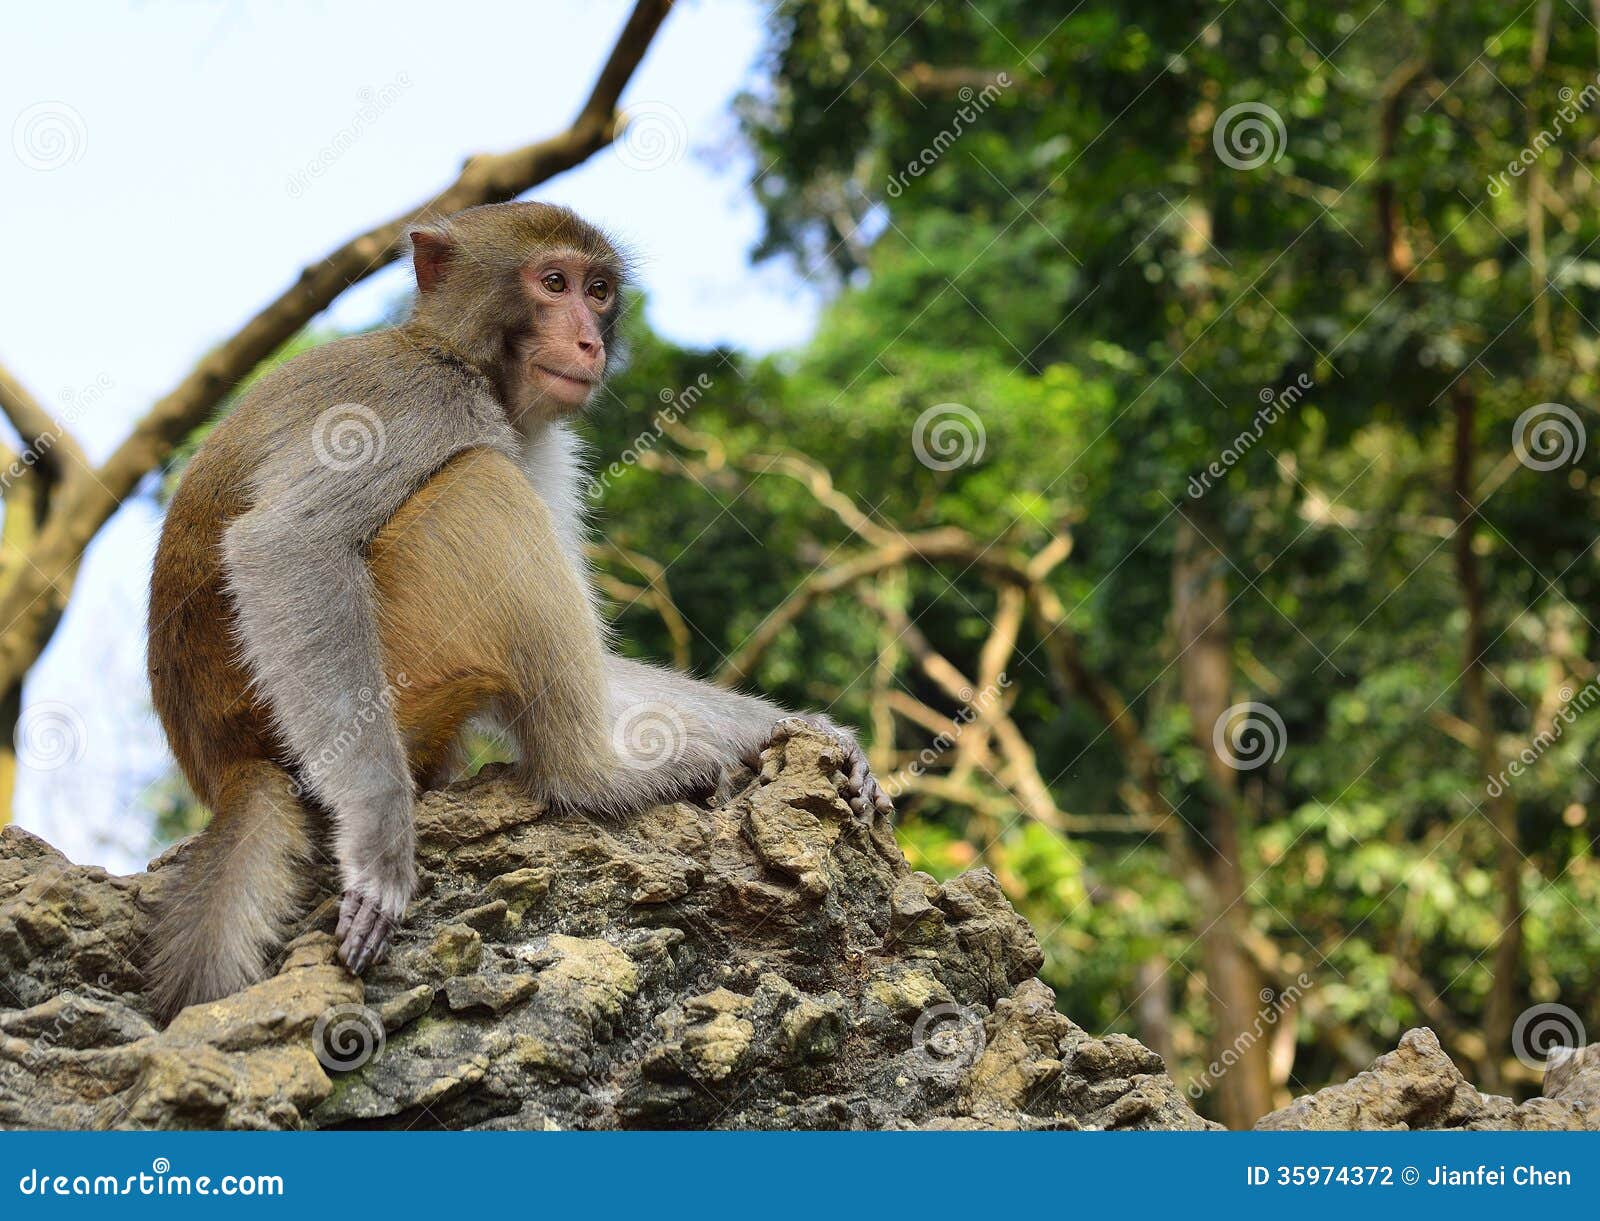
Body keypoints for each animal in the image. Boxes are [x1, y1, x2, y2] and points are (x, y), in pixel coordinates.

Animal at [145, 201, 893, 1019]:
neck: (467, 363)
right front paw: (378, 837)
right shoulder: (417, 401)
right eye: (553, 283)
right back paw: (590, 776)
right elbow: (287, 546)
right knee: (480, 483)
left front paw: (804, 731)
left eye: (598, 290)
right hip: (389, 683)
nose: (588, 339)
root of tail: (225, 760)